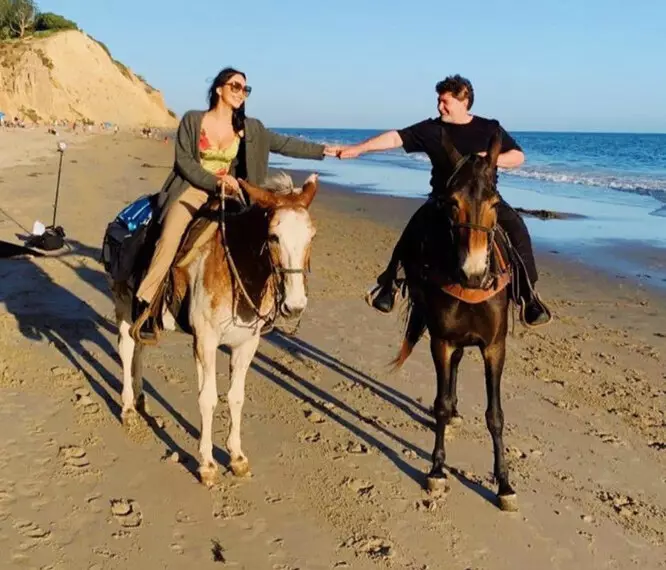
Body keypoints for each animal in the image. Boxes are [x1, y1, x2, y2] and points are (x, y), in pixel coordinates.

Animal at [110, 173, 318, 484]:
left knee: (139, 349)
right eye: (273, 236)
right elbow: (208, 398)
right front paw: (207, 464)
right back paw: (127, 409)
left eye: (312, 236)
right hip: (123, 302)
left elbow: (236, 397)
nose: (295, 305)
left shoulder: (246, 344)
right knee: (126, 348)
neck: (238, 267)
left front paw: (237, 457)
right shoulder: (205, 341)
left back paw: (139, 398)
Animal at [392, 129, 516, 510]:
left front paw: (504, 484)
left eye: (495, 203)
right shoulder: (441, 341)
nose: (473, 272)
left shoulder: (495, 347)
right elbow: (441, 406)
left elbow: (496, 415)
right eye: (451, 203)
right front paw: (436, 470)